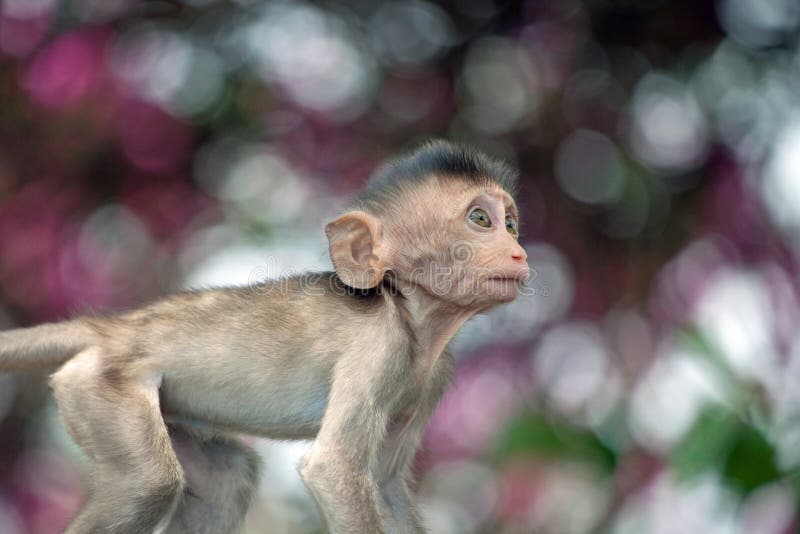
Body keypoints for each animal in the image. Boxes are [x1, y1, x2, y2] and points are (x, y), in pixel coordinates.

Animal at [0, 140, 529, 534]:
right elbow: (335, 471)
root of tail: (118, 329)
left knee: (227, 479)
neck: (412, 313)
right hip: (100, 386)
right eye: (479, 220)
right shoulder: (380, 348)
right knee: (148, 483)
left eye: (510, 223)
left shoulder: (435, 375)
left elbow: (384, 485)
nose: (520, 251)